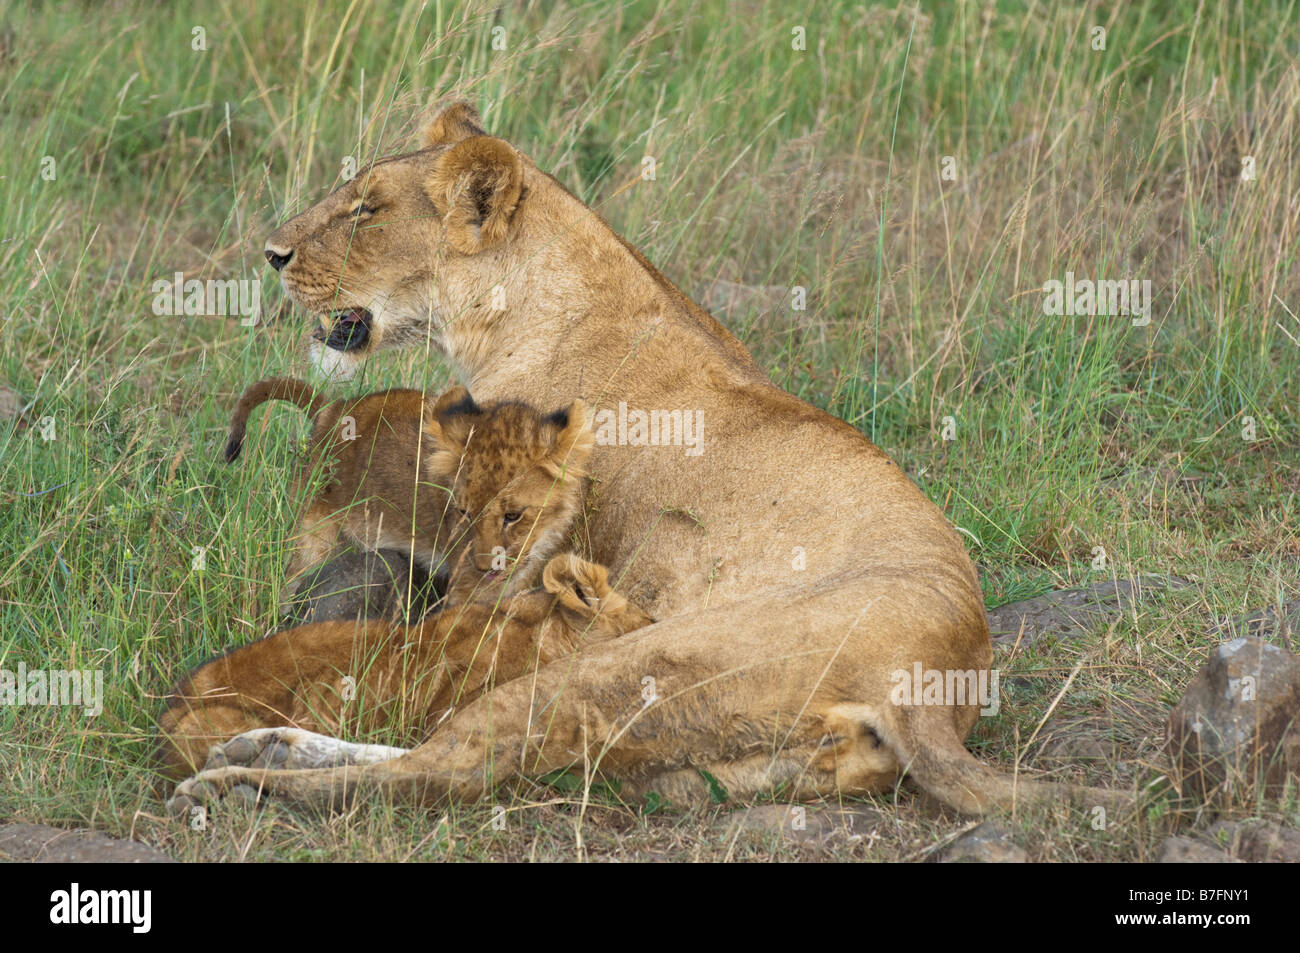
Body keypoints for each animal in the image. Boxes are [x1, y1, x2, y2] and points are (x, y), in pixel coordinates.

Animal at [224, 378, 593, 606]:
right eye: (463, 513)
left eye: (513, 516)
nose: (483, 567)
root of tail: (332, 410)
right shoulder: (464, 587)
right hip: (312, 539)